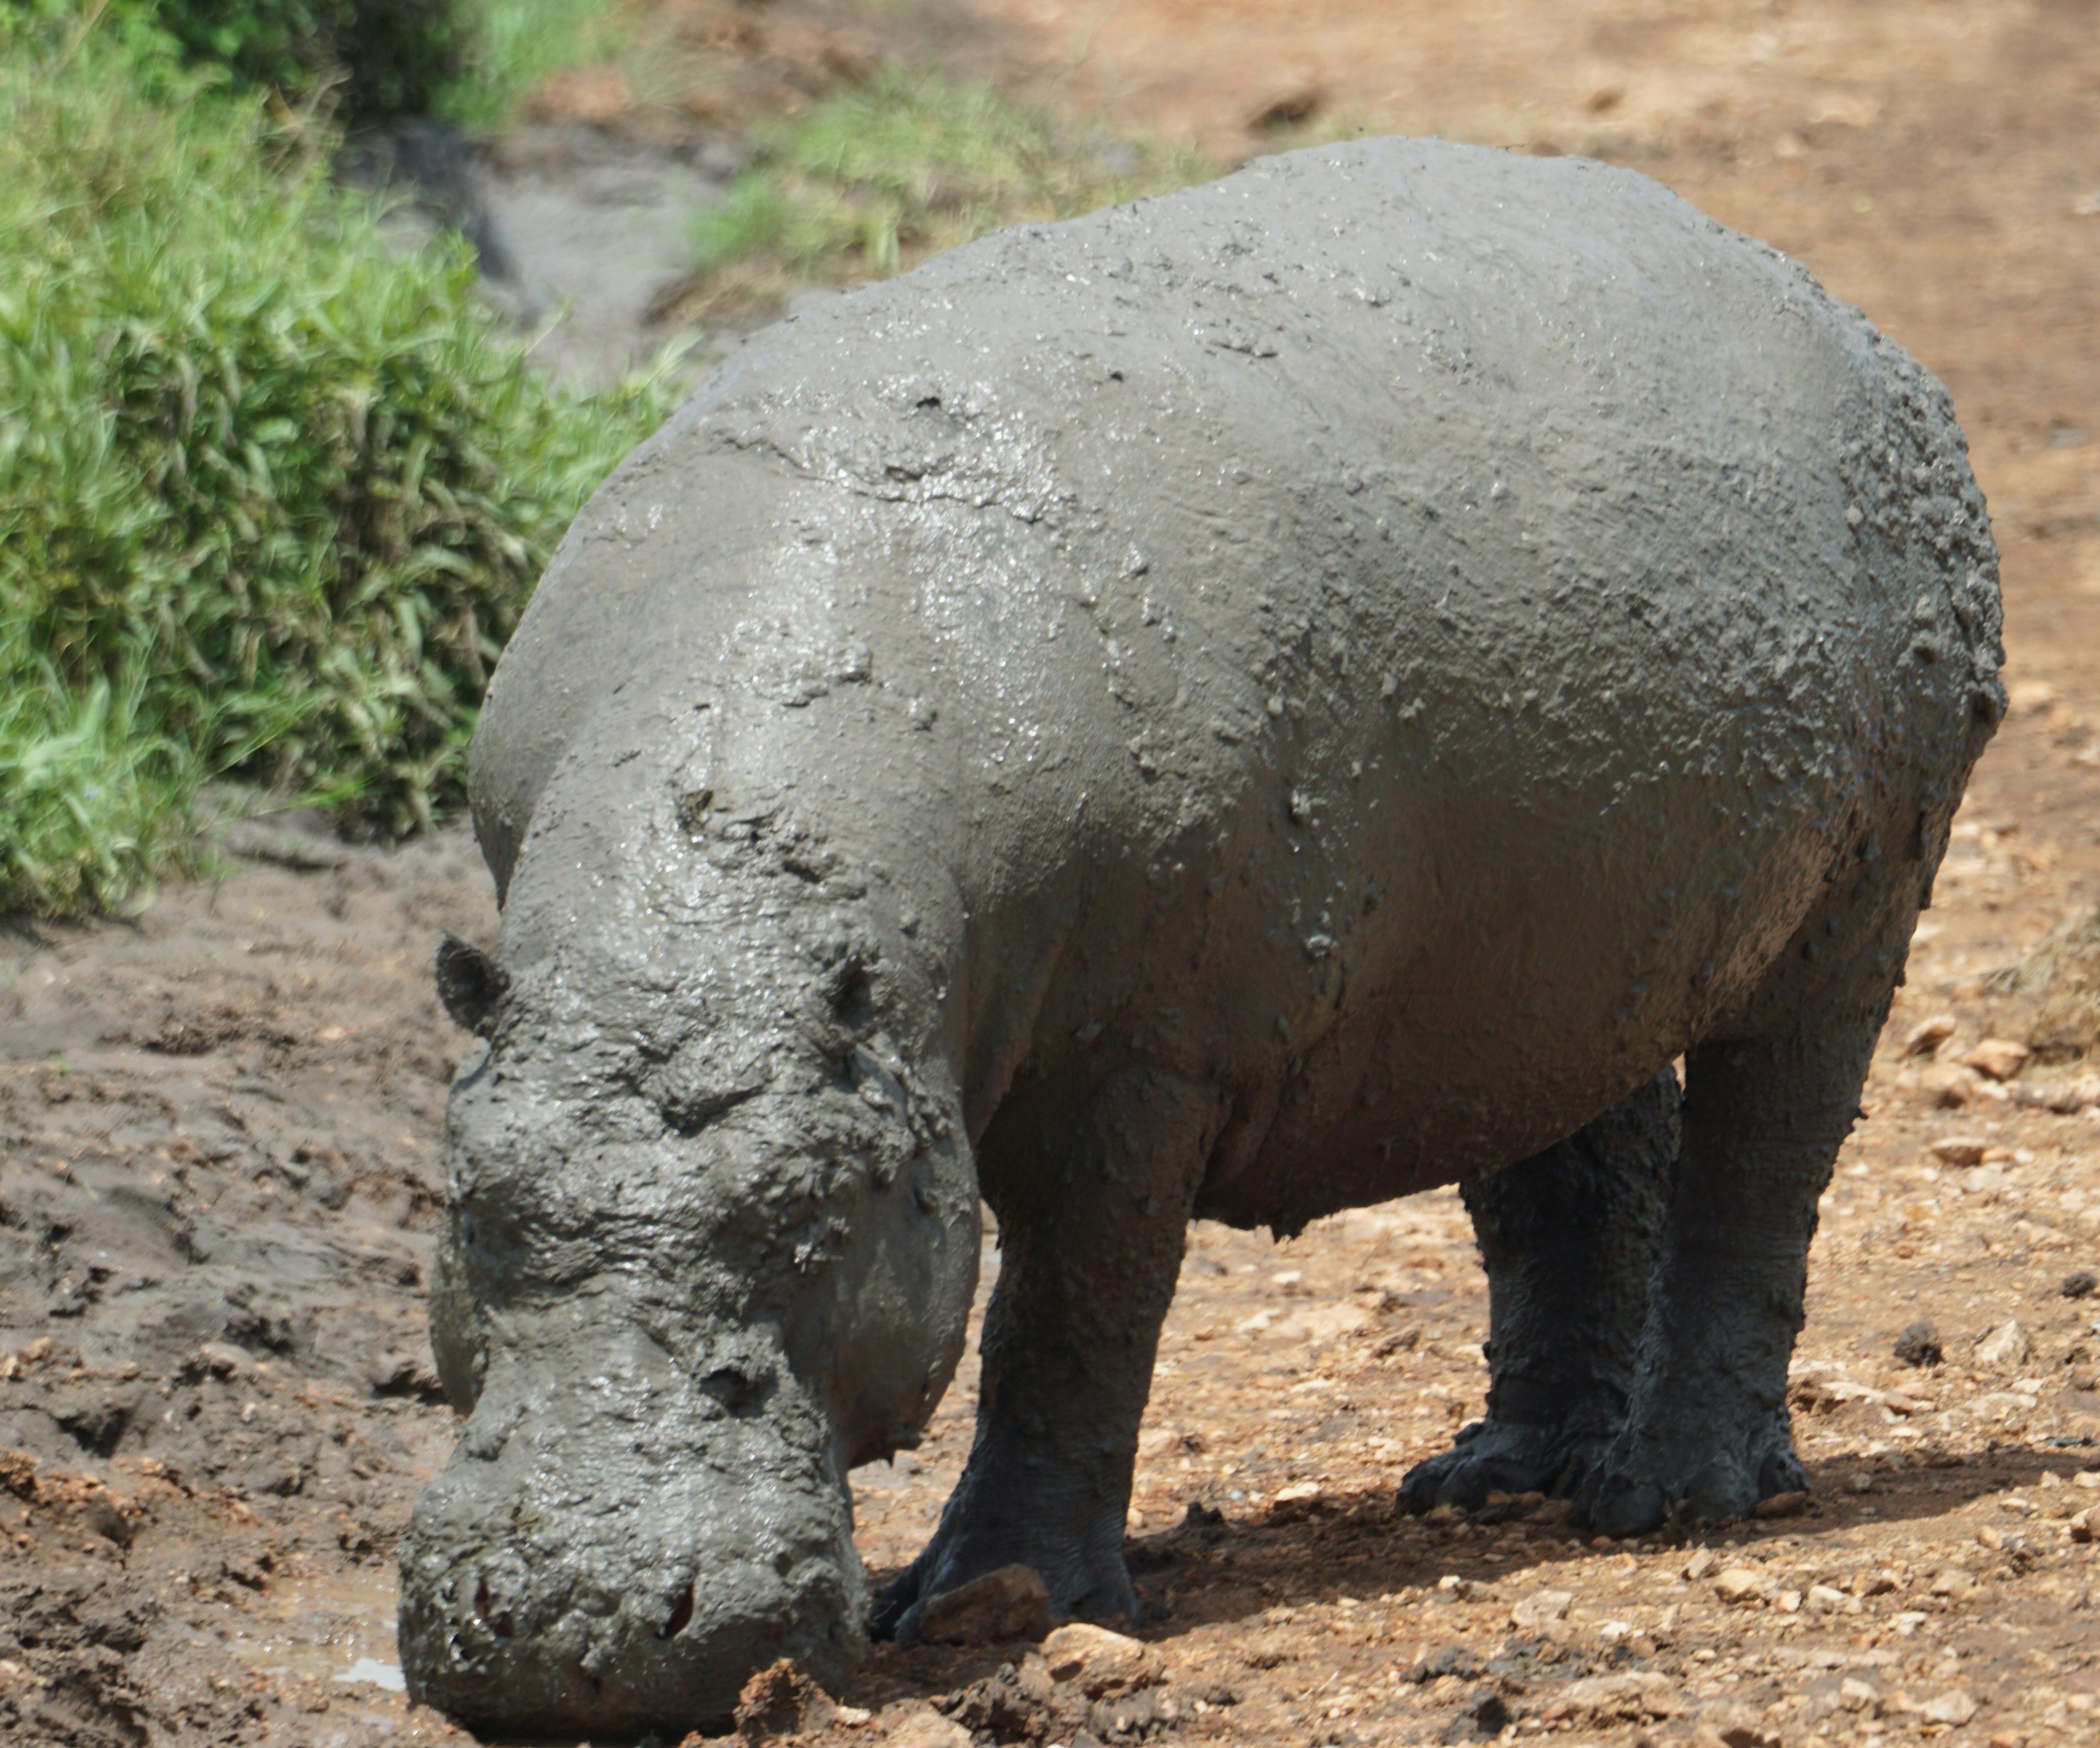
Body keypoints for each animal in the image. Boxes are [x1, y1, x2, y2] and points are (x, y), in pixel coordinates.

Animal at [398, 137, 2002, 1735]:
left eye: (813, 1215)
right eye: (473, 1205)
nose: (576, 1632)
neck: (738, 874)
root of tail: (1862, 337)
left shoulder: (1144, 1065)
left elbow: (1070, 1322)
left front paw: (1005, 1599)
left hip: (1852, 906)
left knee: (1760, 1171)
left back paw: (1678, 1497)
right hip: (1540, 938)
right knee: (1577, 1163)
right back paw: (1499, 1478)